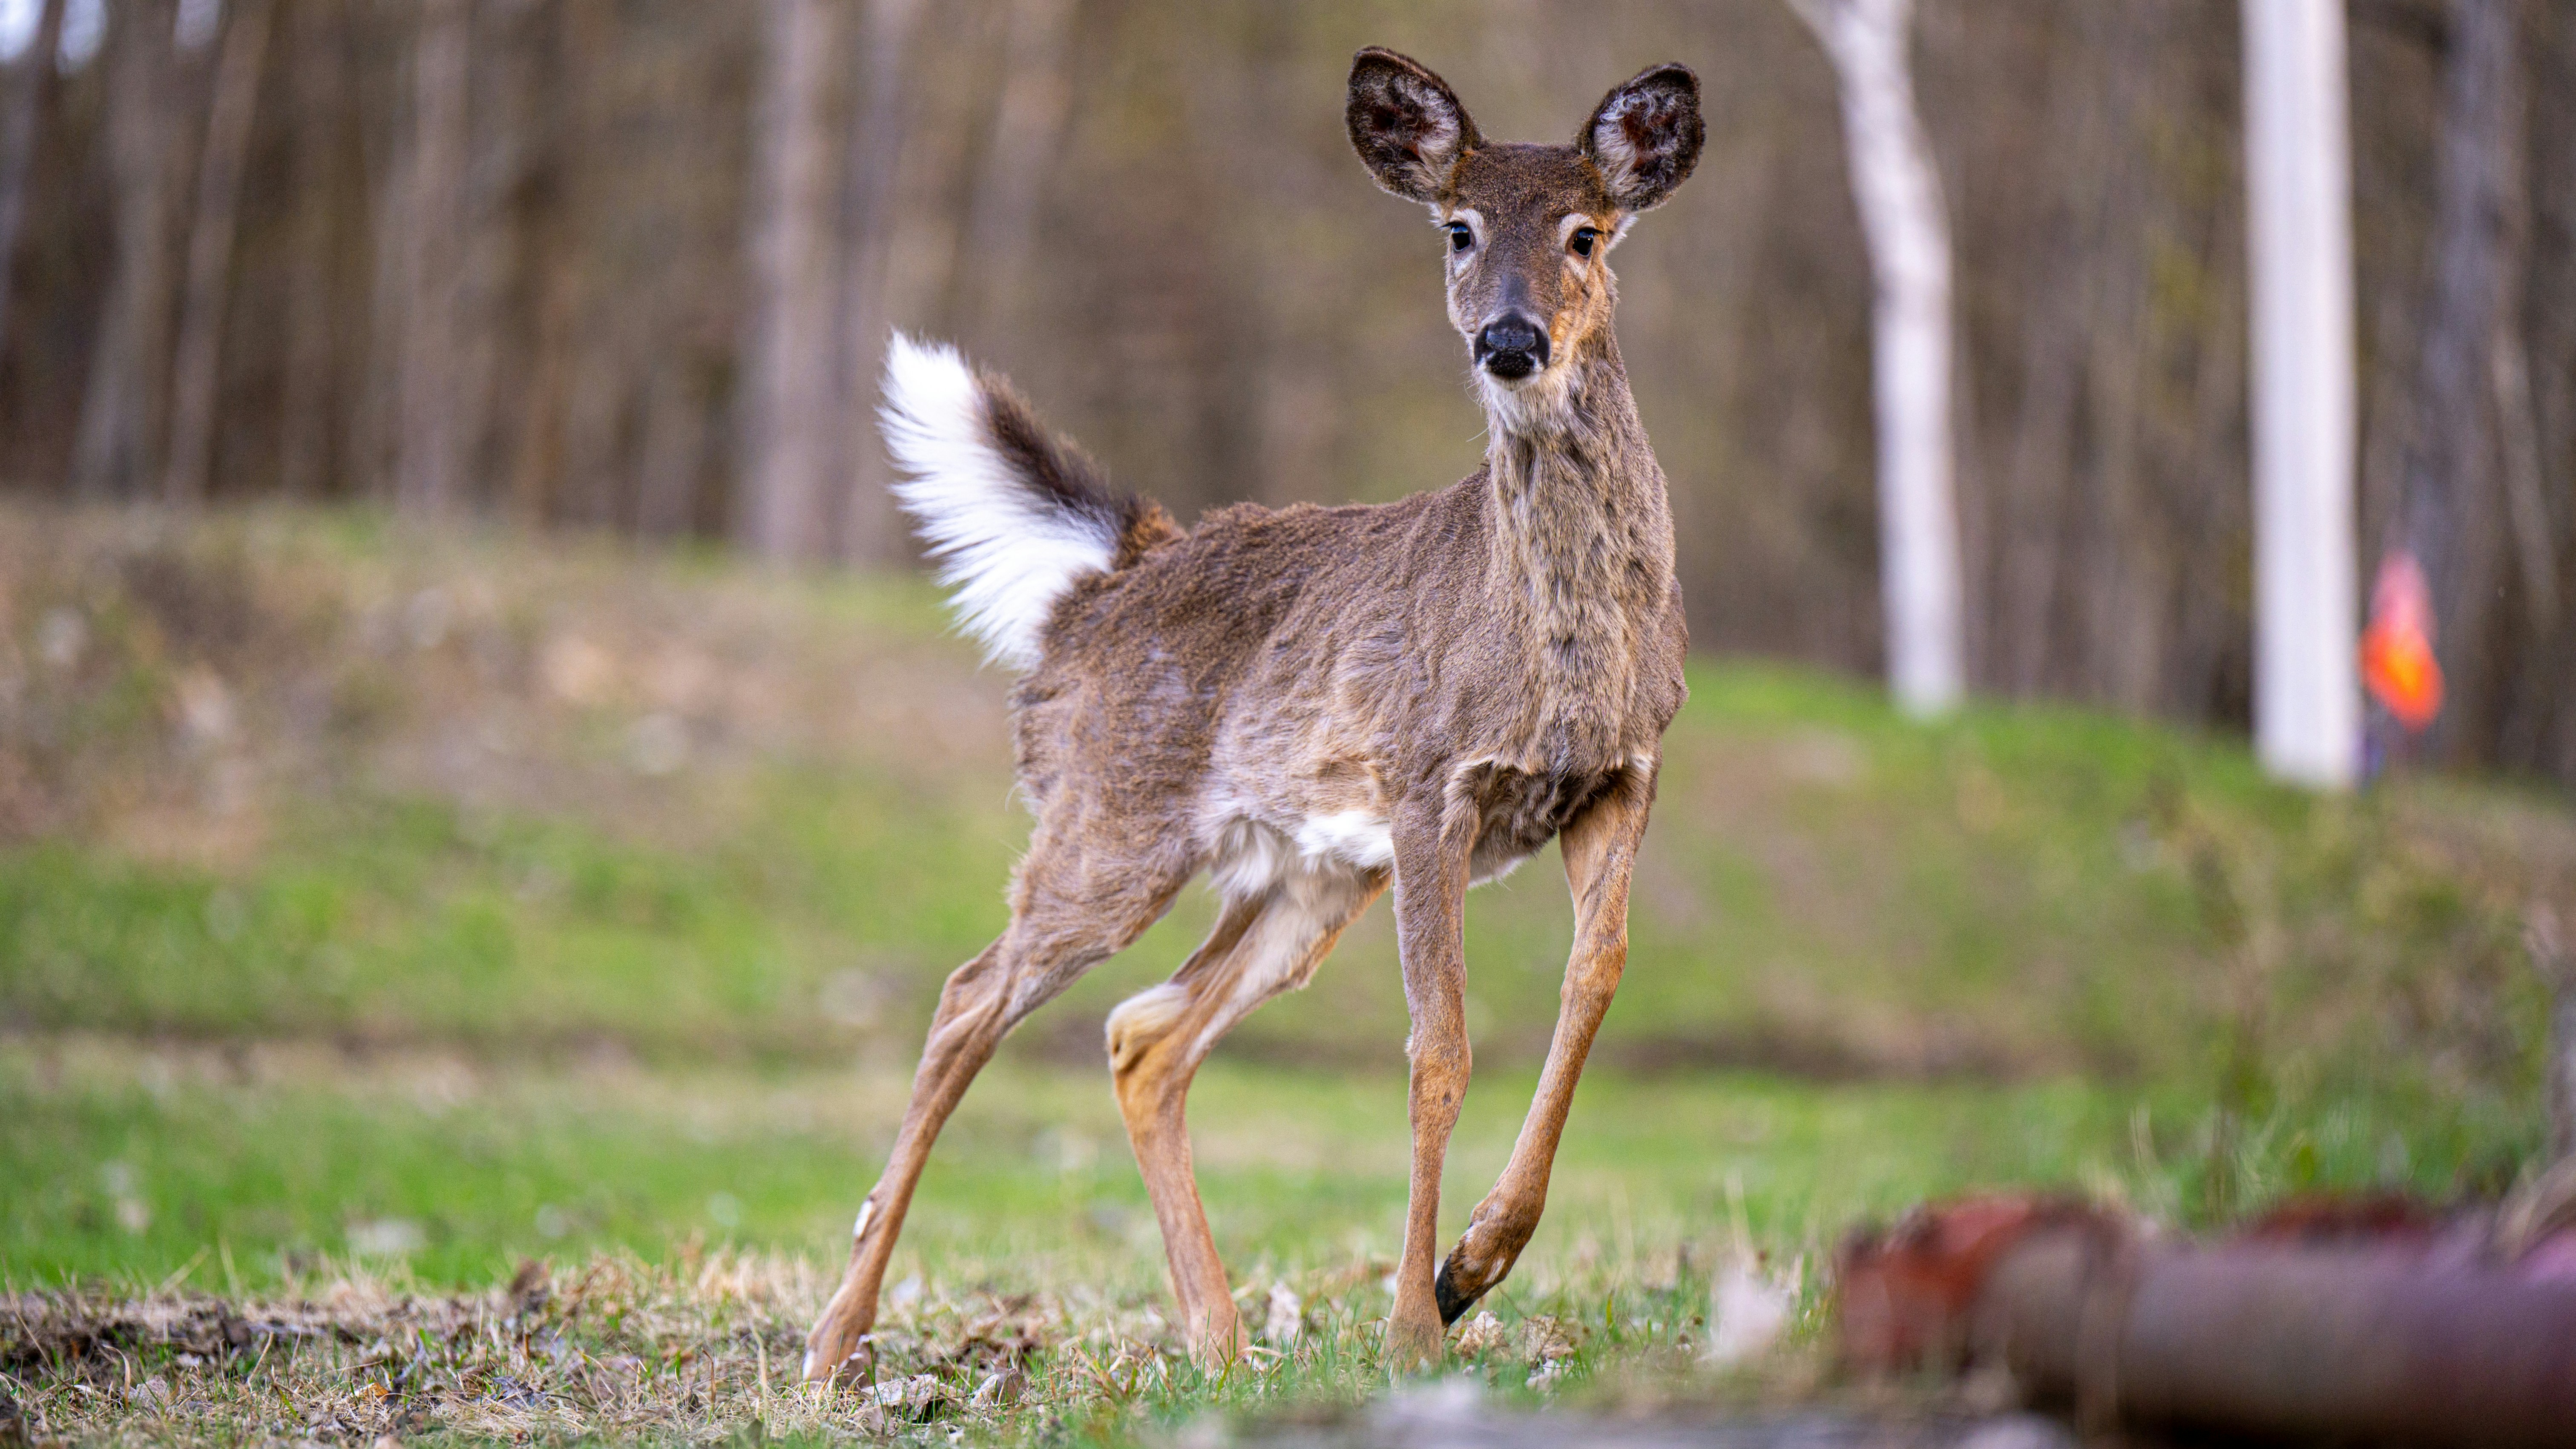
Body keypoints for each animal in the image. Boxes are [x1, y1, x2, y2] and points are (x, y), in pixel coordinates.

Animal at [802, 47, 1704, 1380]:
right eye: (1458, 228)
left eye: (1586, 233)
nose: (1510, 339)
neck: (1562, 656)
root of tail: (1107, 576)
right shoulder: (1429, 780)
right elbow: (1439, 1049)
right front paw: (1415, 1324)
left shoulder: (1622, 774)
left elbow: (1595, 983)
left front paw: (1476, 1262)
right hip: (1111, 819)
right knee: (974, 996)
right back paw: (835, 1338)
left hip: (1305, 871)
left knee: (1144, 1032)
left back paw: (1220, 1343)